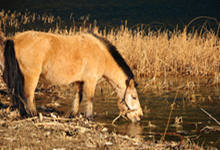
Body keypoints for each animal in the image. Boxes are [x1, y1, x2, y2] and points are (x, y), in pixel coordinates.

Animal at [0, 30, 144, 122]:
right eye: (134, 97)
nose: (140, 116)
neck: (101, 54)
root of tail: (14, 39)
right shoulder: (90, 81)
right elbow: (90, 98)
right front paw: (89, 117)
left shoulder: (79, 81)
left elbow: (78, 97)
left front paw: (73, 114)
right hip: (31, 76)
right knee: (28, 95)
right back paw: (33, 114)